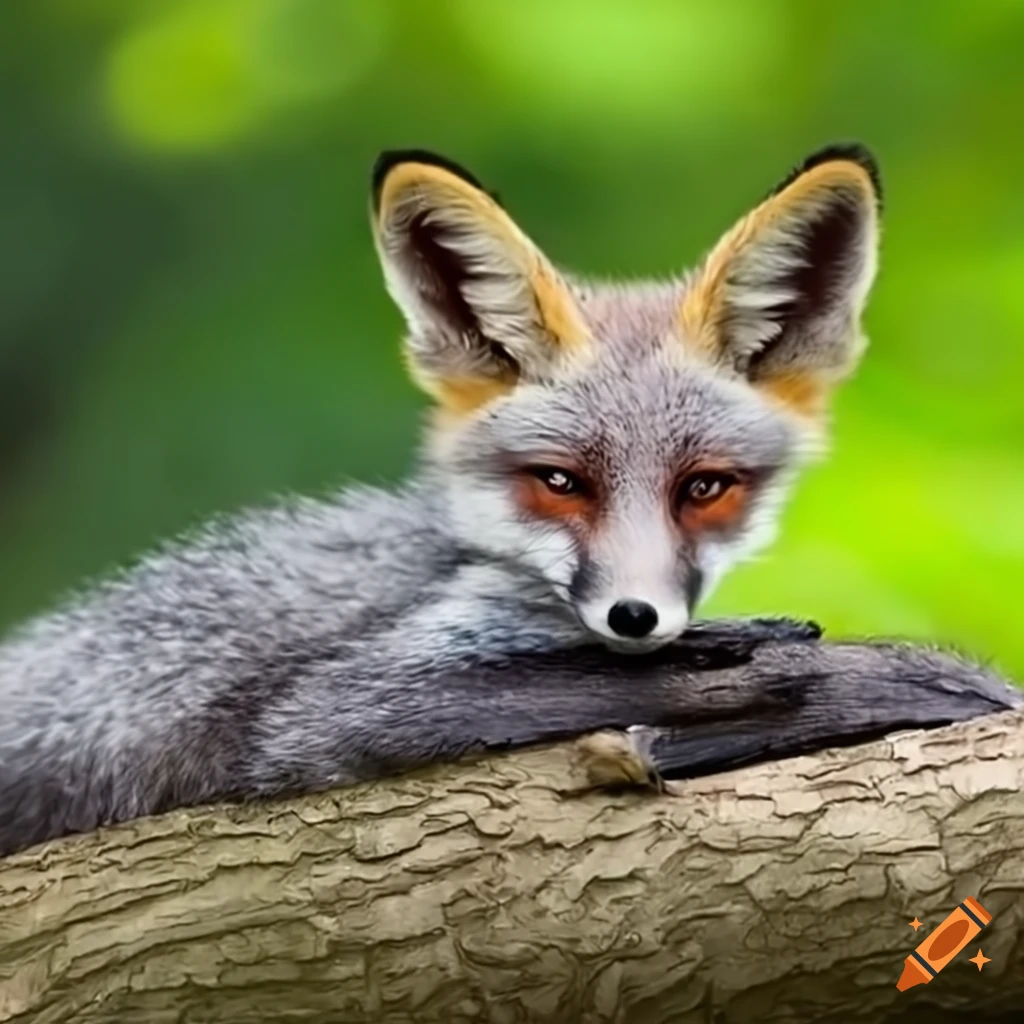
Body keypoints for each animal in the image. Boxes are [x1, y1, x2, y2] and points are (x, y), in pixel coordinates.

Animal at [1, 143, 1016, 859]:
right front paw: (818, 669)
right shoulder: (332, 710)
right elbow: (658, 679)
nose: (636, 615)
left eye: (704, 488)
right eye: (560, 481)